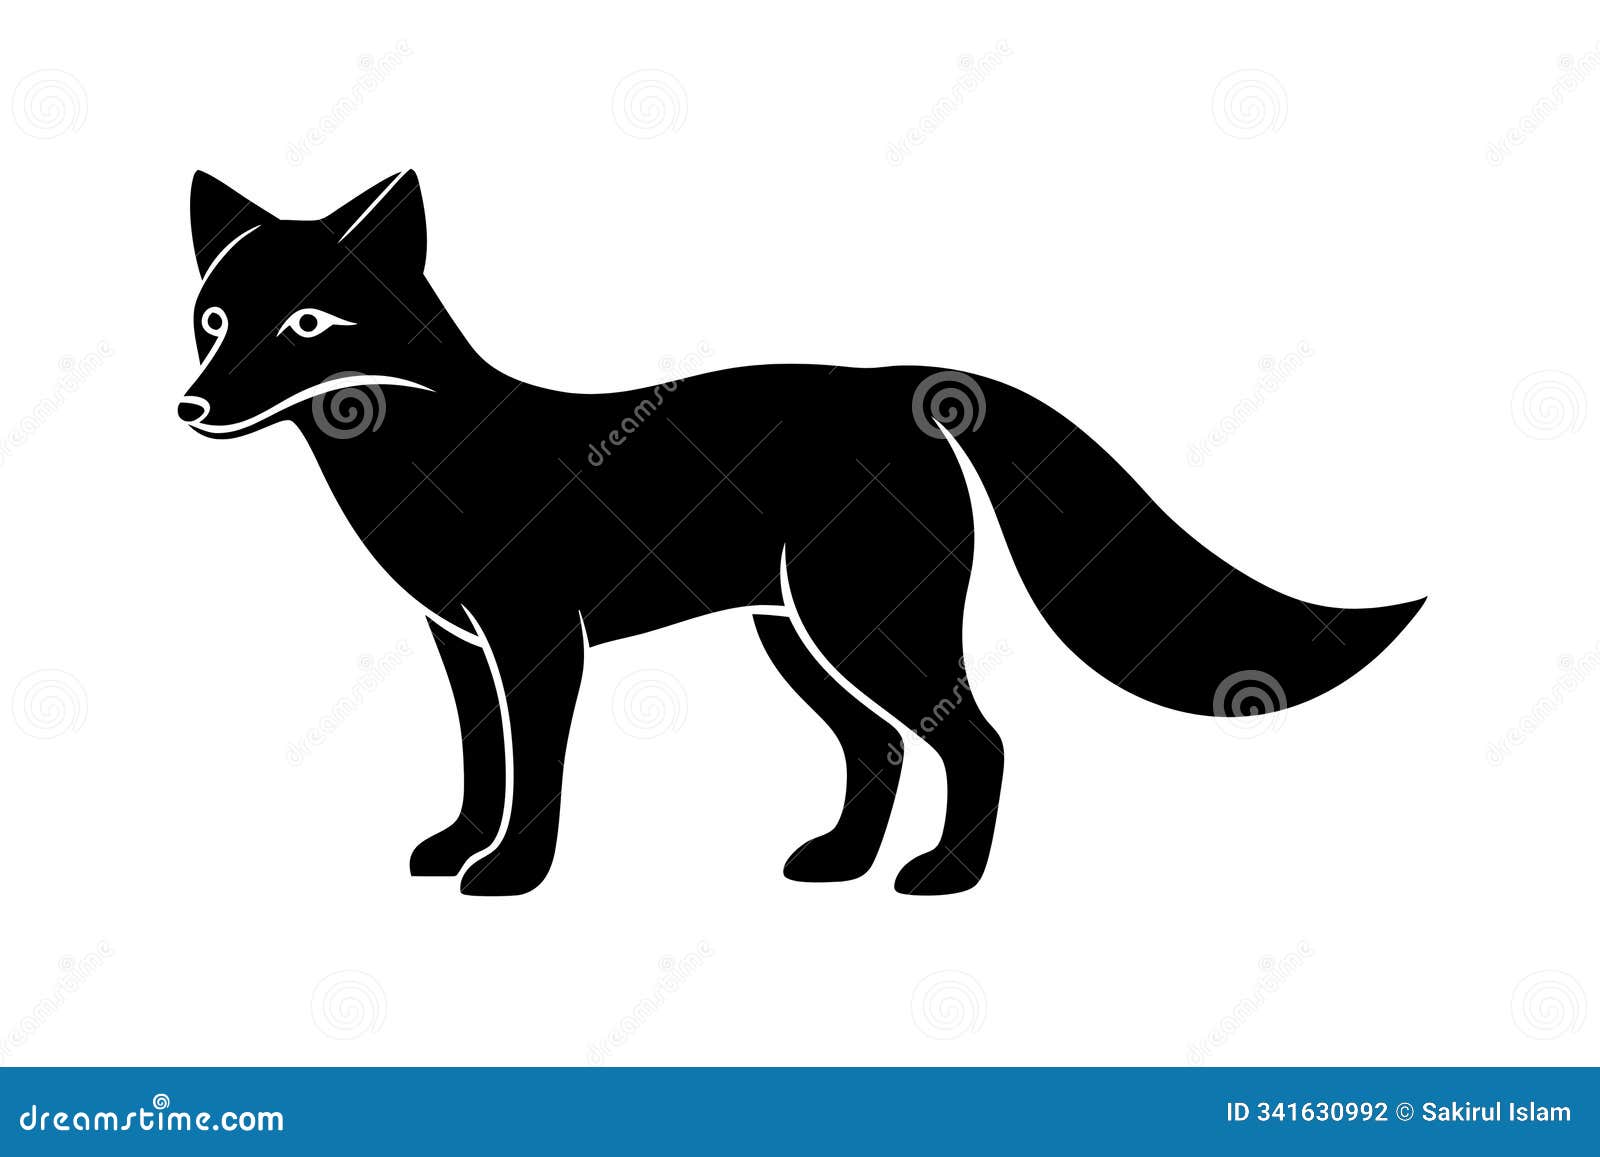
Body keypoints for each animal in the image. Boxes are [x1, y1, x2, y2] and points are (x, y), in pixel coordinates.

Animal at [180, 170, 1424, 896]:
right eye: (214, 319)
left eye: (309, 323)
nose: (191, 406)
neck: (431, 454)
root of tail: (906, 386)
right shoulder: (458, 640)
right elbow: (481, 759)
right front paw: (454, 847)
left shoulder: (537, 639)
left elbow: (535, 771)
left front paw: (511, 872)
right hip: (799, 634)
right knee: (879, 749)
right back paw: (837, 864)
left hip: (866, 623)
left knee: (979, 742)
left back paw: (941, 877)